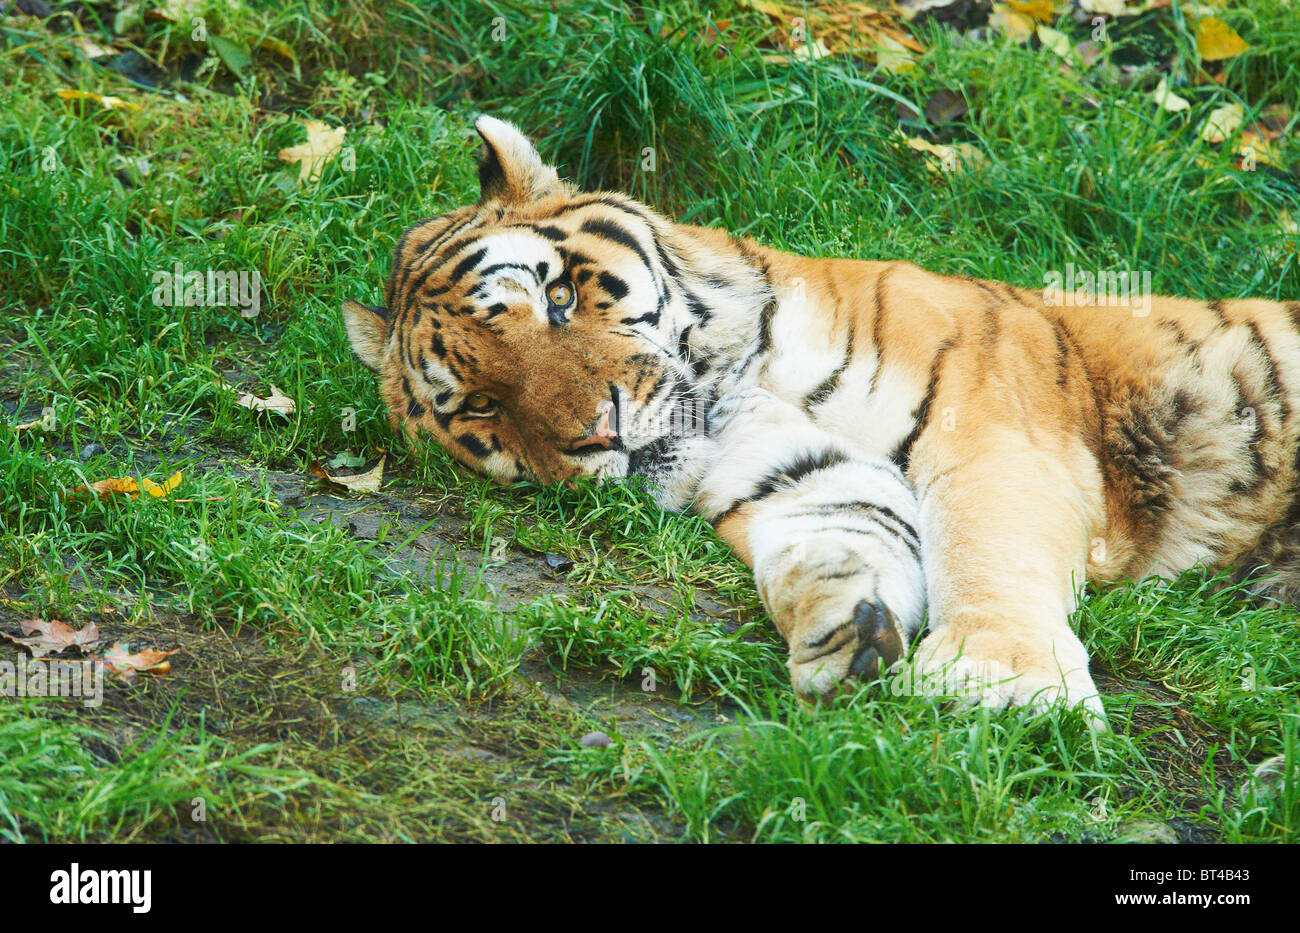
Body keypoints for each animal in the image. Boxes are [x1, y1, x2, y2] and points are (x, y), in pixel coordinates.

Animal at [342, 115, 1300, 727]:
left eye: (559, 296)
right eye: (483, 404)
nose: (599, 433)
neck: (739, 381)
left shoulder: (993, 434)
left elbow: (984, 547)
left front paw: (997, 684)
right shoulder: (799, 476)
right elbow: (834, 540)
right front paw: (844, 626)